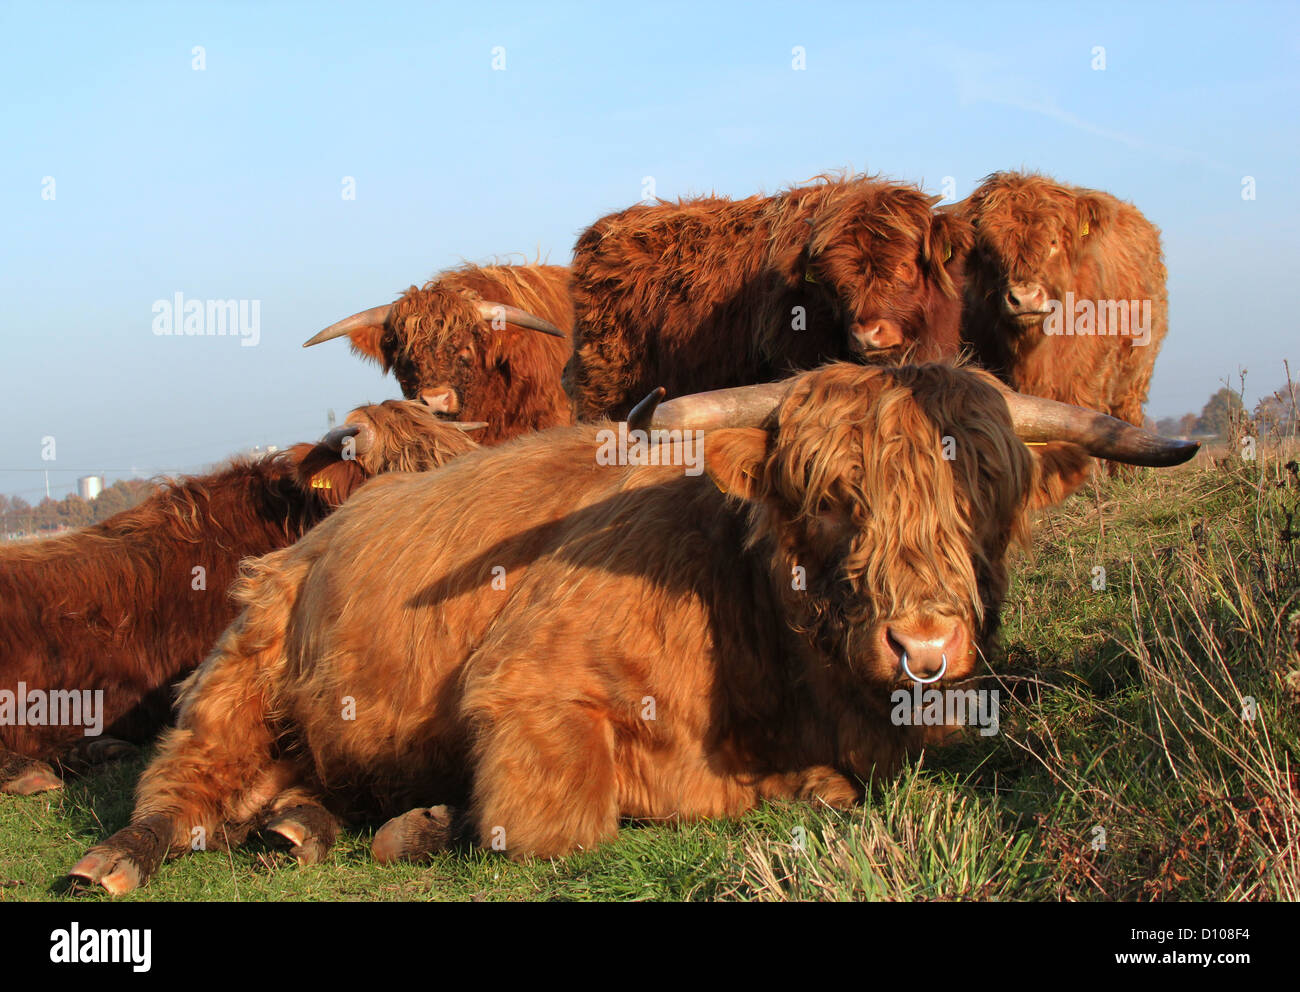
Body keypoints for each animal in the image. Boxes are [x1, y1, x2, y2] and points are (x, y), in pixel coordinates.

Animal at [66, 362, 1197, 894]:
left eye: (985, 500)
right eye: (835, 495)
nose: (925, 647)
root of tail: (314, 534)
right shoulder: (526, 694)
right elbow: (572, 815)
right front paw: (430, 824)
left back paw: (298, 822)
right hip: (238, 668)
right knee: (180, 782)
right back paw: (116, 857)